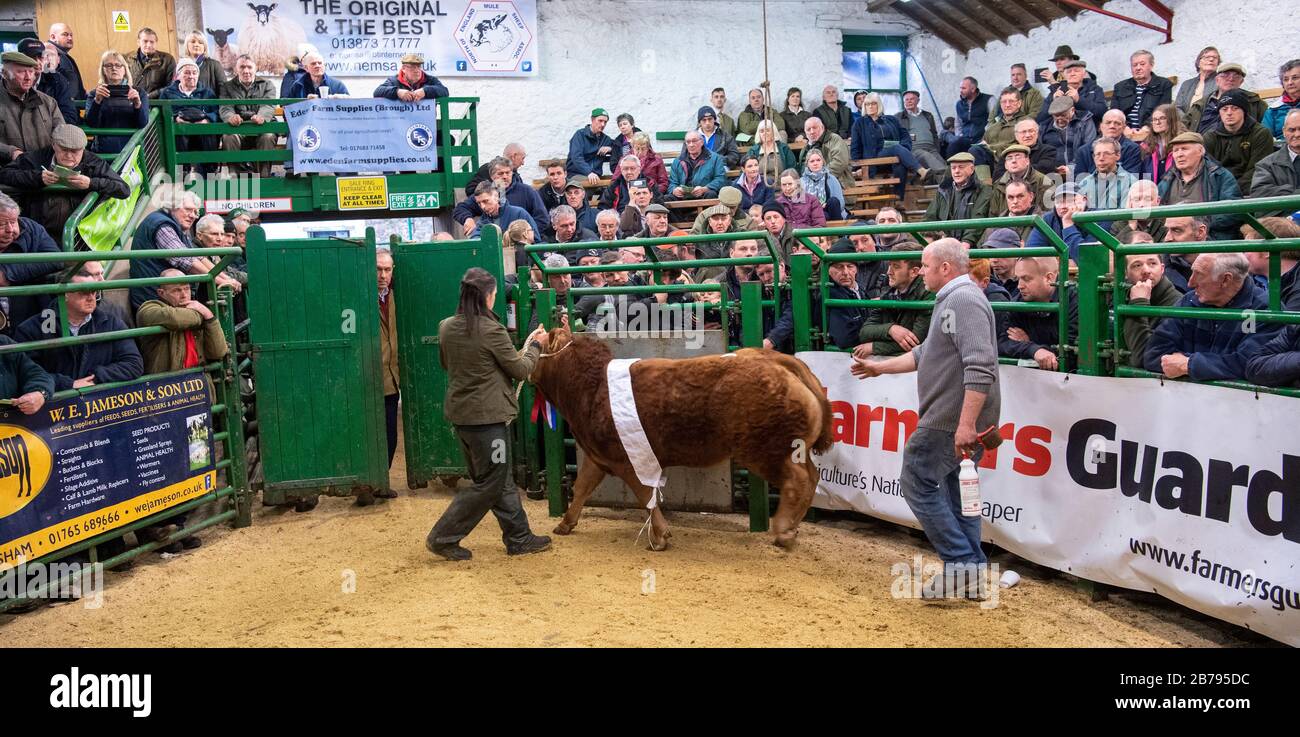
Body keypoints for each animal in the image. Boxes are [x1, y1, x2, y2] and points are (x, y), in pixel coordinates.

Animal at [530, 327, 832, 550]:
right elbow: (582, 487)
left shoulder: (628, 461)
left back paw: (784, 531)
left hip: (766, 451)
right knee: (811, 477)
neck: (593, 389)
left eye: (535, 343)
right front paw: (565, 523)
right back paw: (792, 527)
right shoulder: (597, 457)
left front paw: (660, 536)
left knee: (798, 480)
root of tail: (779, 361)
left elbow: (645, 495)